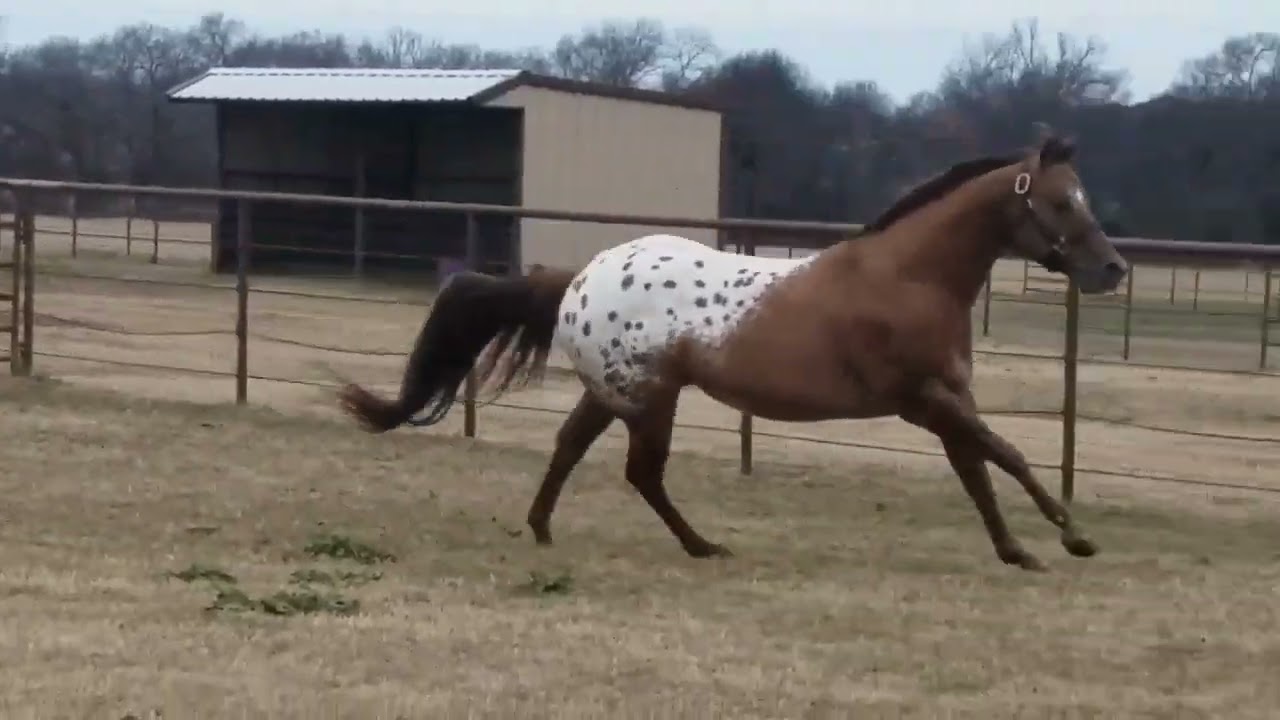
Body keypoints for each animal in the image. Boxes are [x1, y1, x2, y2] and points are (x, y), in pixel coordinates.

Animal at [337, 130, 1129, 572]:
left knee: (570, 449)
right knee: (641, 473)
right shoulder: (923, 401)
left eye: (1084, 196)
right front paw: (1075, 539)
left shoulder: (947, 401)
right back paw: (703, 546)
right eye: (1062, 201)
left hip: (614, 393)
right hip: (651, 399)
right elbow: (1009, 457)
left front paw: (1019, 551)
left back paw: (543, 531)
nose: (1114, 269)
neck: (907, 278)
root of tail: (580, 278)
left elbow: (979, 474)